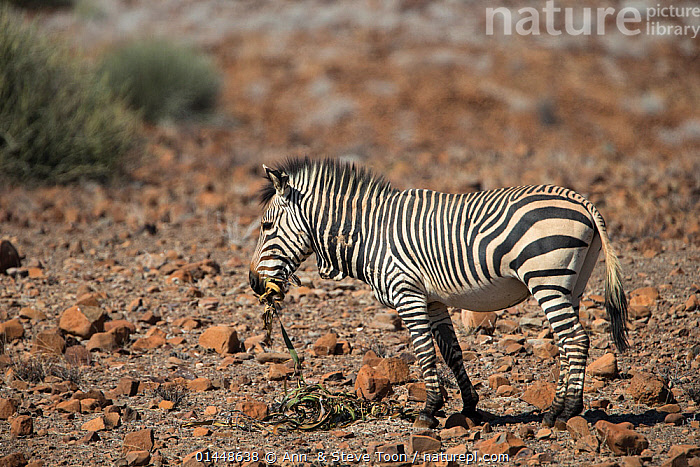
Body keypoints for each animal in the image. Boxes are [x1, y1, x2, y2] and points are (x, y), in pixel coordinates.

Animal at [249, 157, 628, 429]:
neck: (369, 234)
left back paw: (564, 413)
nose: (253, 284)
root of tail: (578, 198)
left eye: (267, 226)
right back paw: (558, 408)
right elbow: (451, 352)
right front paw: (470, 406)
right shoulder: (432, 300)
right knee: (566, 342)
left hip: (546, 277)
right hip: (570, 284)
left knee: (575, 340)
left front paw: (429, 411)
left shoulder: (408, 294)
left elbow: (424, 353)